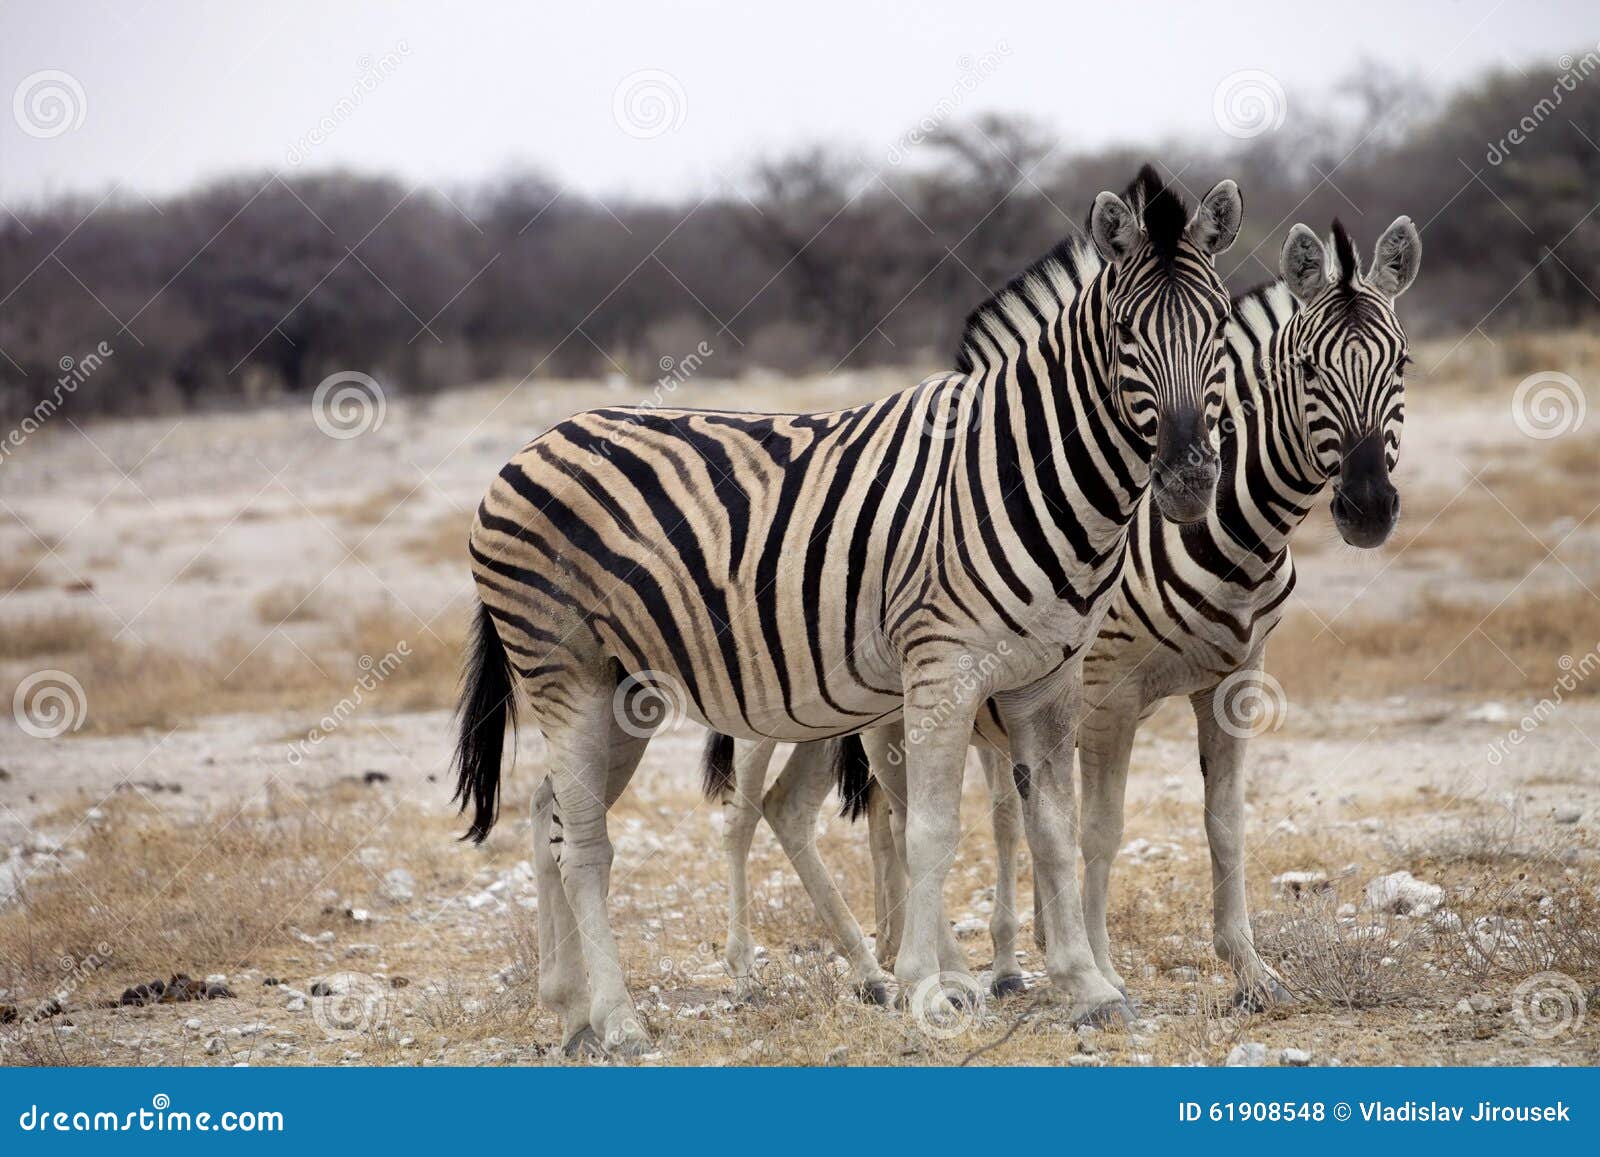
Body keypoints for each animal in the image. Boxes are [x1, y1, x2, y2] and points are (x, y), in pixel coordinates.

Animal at [452, 165, 1243, 1055]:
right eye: (1126, 335)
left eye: (1219, 325)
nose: (1189, 479)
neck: (1023, 472)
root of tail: (530, 444)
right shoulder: (942, 668)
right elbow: (932, 830)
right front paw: (928, 988)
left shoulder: (1049, 680)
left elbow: (1053, 831)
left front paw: (1089, 985)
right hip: (564, 670)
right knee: (586, 843)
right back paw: (620, 1022)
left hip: (625, 688)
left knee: (550, 811)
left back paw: (571, 1010)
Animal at [711, 215, 1421, 1011]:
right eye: (1307, 369)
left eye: (1403, 364)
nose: (1369, 508)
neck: (1230, 536)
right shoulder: (1103, 689)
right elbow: (1097, 829)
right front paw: (1098, 967)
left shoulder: (1234, 681)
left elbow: (1225, 824)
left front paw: (1250, 970)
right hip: (778, 698)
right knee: (747, 814)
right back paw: (753, 969)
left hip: (847, 705)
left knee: (804, 809)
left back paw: (881, 968)